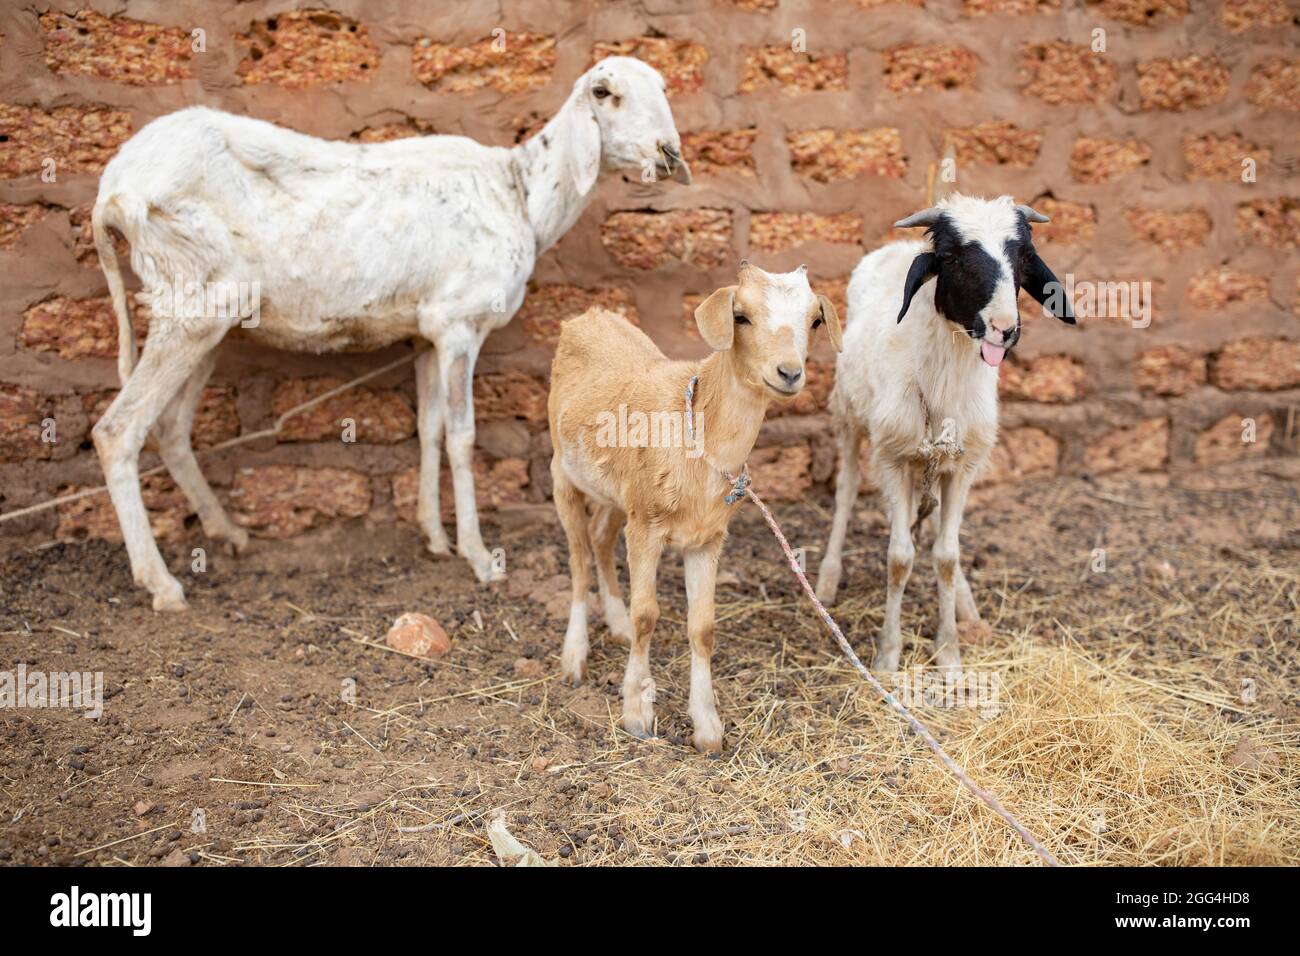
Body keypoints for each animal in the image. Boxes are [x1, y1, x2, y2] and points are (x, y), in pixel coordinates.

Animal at [89, 57, 691, 611]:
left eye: (665, 89)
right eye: (603, 92)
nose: (669, 152)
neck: (519, 194)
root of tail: (112, 190)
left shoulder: (427, 334)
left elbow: (427, 430)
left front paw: (434, 535)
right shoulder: (459, 324)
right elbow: (461, 436)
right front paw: (478, 555)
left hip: (207, 317)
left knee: (170, 428)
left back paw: (226, 531)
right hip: (190, 299)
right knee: (117, 430)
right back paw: (161, 583)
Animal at [548, 263, 842, 752]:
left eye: (815, 319)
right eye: (740, 315)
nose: (788, 372)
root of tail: (589, 315)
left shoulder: (705, 537)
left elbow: (702, 628)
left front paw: (707, 728)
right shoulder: (647, 527)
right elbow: (647, 615)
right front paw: (637, 714)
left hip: (617, 493)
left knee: (600, 538)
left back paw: (614, 623)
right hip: (562, 472)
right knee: (578, 557)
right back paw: (574, 658)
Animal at [815, 195, 1075, 674]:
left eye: (1022, 257)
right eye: (951, 258)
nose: (1005, 329)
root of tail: (897, 248)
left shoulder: (963, 467)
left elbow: (947, 557)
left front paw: (950, 652)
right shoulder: (893, 457)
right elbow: (899, 559)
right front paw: (888, 655)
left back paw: (967, 606)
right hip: (849, 417)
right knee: (846, 490)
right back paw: (827, 578)